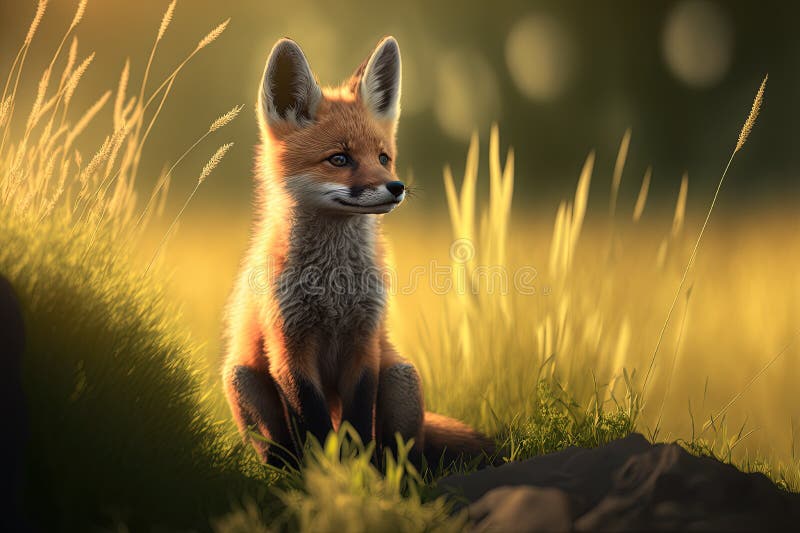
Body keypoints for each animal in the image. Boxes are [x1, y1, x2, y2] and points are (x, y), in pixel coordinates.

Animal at [222, 36, 493, 468]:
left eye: (383, 157)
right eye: (339, 158)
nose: (397, 187)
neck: (334, 291)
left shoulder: (365, 346)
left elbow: (358, 425)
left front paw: (359, 472)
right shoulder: (289, 350)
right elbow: (315, 429)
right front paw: (326, 475)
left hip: (402, 375)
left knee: (403, 453)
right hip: (241, 379)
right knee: (280, 450)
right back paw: (287, 473)